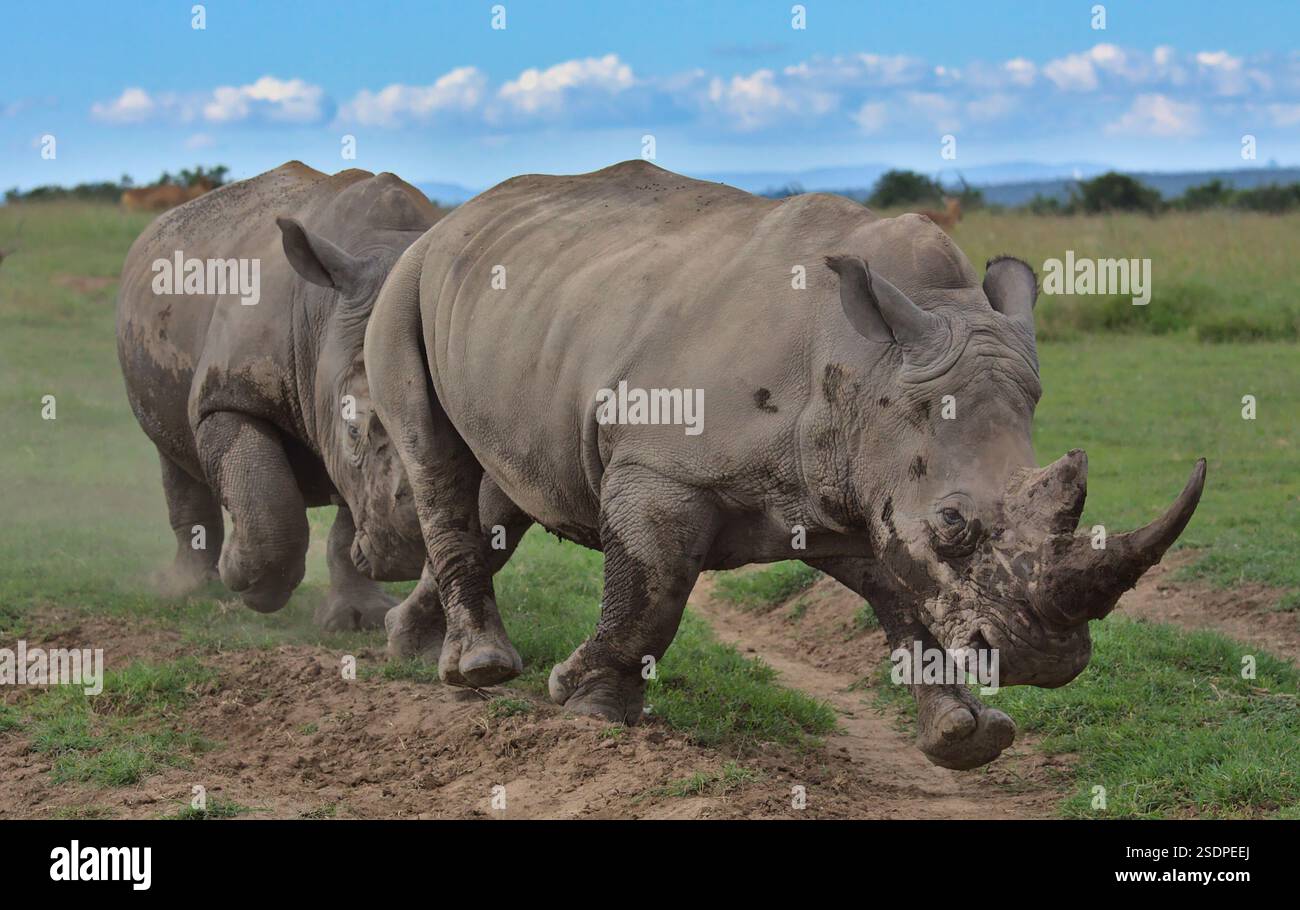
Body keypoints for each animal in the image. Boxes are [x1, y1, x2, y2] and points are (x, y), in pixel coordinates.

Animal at [117, 162, 432, 628]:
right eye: (353, 431)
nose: (412, 547)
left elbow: (346, 521)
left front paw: (360, 619)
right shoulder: (227, 395)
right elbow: (265, 503)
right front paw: (245, 580)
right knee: (171, 453)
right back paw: (187, 589)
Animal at [364, 160, 1205, 769]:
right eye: (954, 525)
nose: (1045, 662)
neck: (864, 365)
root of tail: (452, 220)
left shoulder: (859, 484)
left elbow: (904, 596)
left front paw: (967, 737)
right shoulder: (662, 469)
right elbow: (652, 593)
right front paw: (589, 709)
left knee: (503, 489)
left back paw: (414, 648)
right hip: (404, 285)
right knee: (437, 461)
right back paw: (479, 670)